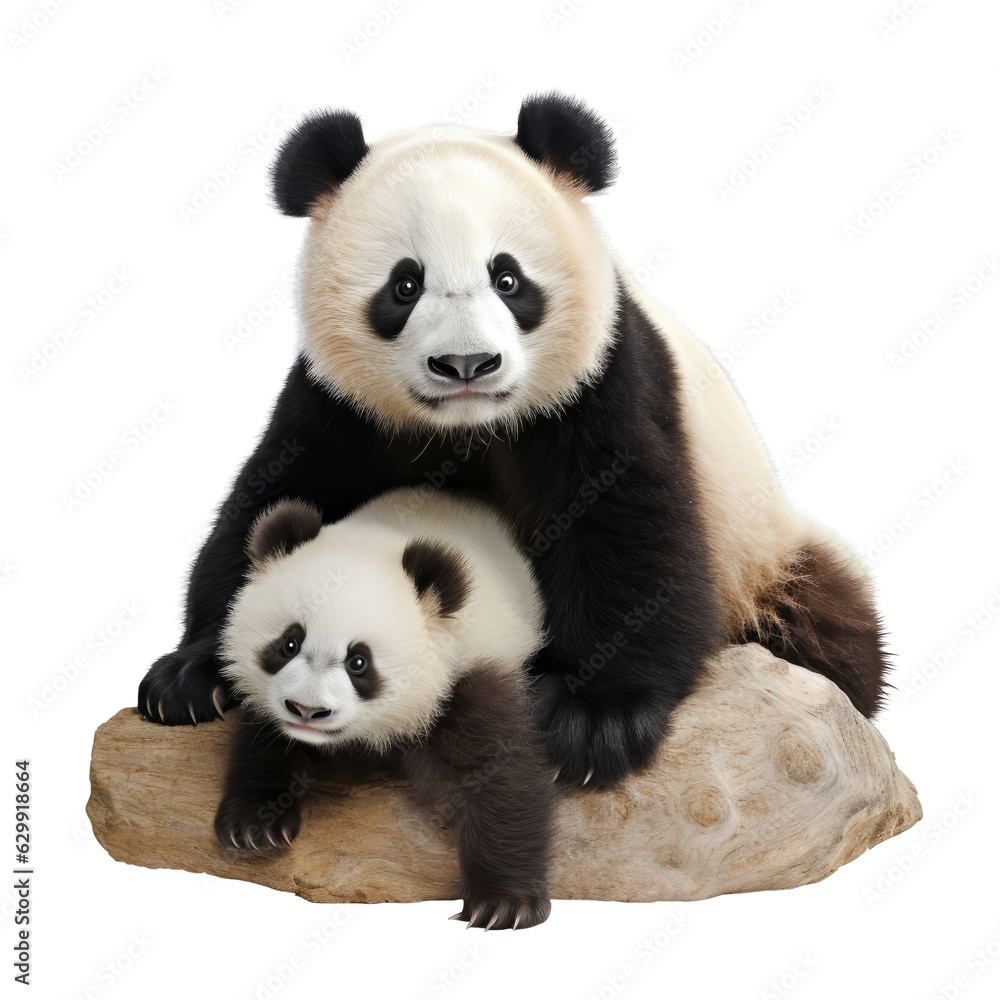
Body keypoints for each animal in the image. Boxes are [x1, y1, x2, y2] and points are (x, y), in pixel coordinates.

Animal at [139, 92, 887, 787]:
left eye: (508, 278)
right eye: (404, 285)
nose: (466, 364)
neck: (465, 428)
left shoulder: (602, 383)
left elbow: (630, 530)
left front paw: (595, 719)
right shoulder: (337, 407)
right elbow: (276, 496)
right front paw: (193, 673)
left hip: (763, 553)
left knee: (827, 629)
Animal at [215, 487, 553, 930]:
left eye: (358, 661)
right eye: (289, 643)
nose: (306, 710)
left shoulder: (469, 672)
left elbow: (499, 776)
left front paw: (503, 903)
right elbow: (264, 738)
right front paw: (256, 822)